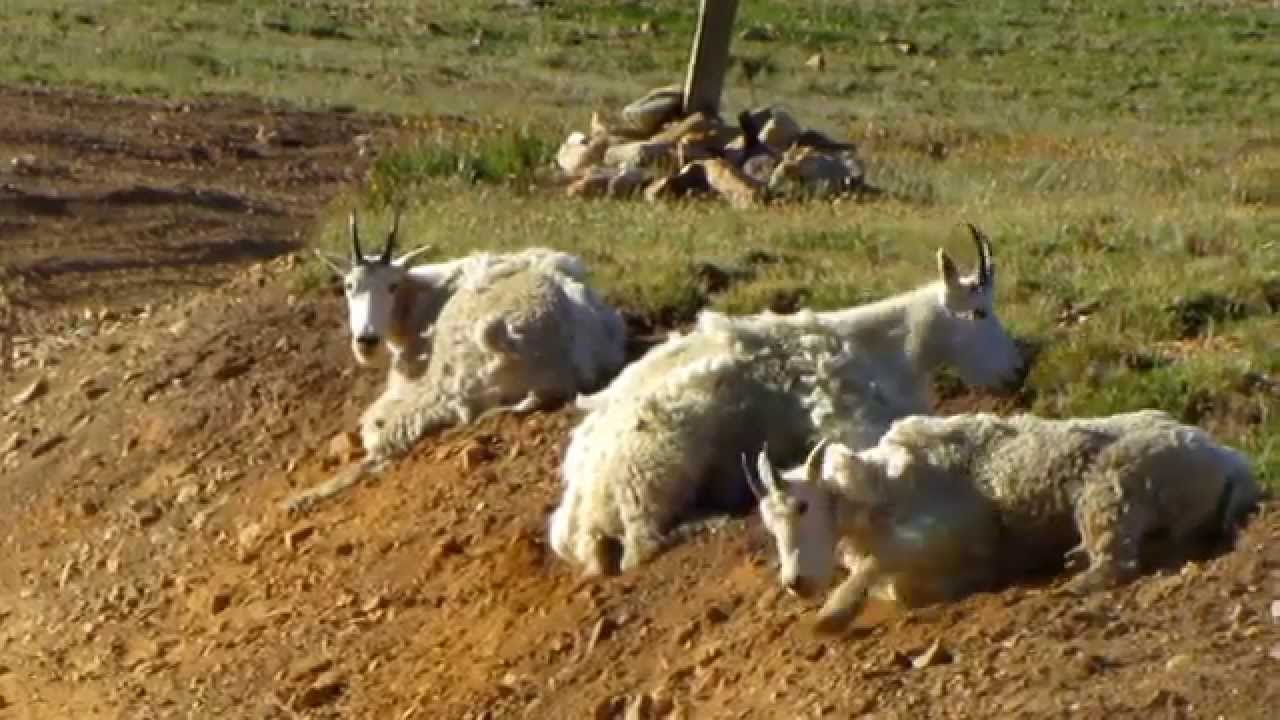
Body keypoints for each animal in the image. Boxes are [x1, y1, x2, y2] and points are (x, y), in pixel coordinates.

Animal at [750, 410, 1262, 633]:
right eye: (769, 524)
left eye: (804, 506)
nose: (795, 583)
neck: (881, 485)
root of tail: (1231, 462)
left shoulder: (954, 529)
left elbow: (887, 566)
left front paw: (832, 614)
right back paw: (1074, 560)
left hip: (1111, 494)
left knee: (1122, 562)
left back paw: (1073, 583)